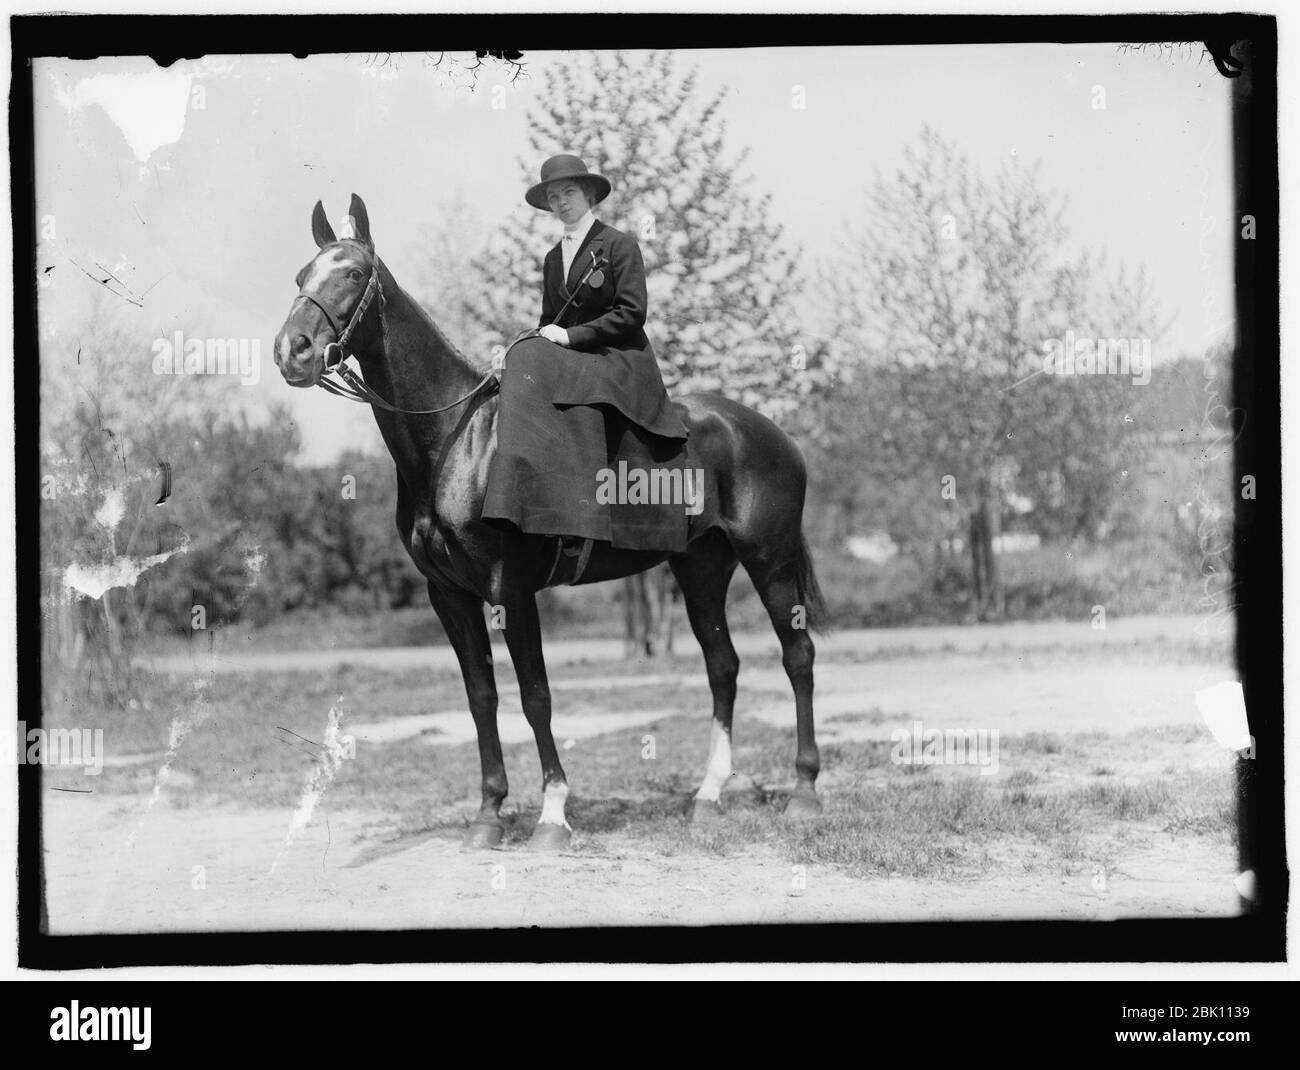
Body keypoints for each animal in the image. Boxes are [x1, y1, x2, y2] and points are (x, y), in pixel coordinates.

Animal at [273, 194, 827, 851]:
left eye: (354, 274)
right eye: (301, 276)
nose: (292, 351)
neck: (457, 442)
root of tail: (771, 431)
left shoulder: (511, 590)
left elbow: (536, 696)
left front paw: (553, 814)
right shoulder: (449, 597)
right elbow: (481, 697)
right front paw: (489, 813)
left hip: (769, 560)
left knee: (797, 656)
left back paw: (804, 791)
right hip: (701, 568)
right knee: (724, 666)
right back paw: (709, 795)